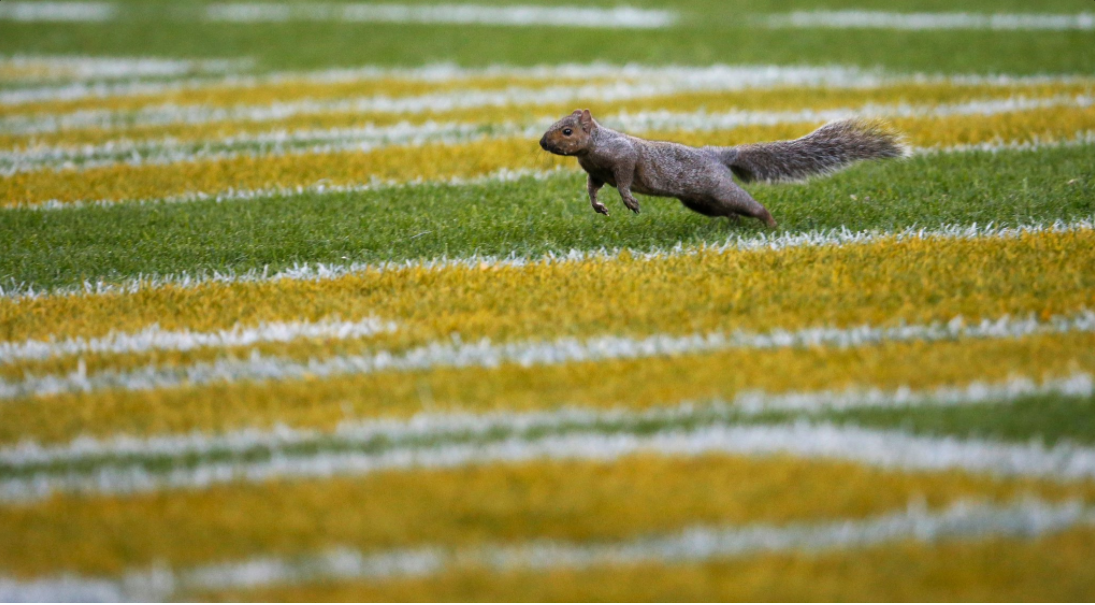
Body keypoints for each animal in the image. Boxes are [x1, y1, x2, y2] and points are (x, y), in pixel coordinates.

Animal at [539, 109, 907, 227]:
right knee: (729, 210)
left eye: (567, 131)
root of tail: (718, 156)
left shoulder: (624, 156)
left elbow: (626, 177)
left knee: (751, 205)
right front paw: (598, 206)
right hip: (702, 202)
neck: (593, 147)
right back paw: (734, 224)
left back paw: (770, 223)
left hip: (718, 188)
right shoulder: (595, 172)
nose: (542, 142)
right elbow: (592, 188)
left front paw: (629, 200)